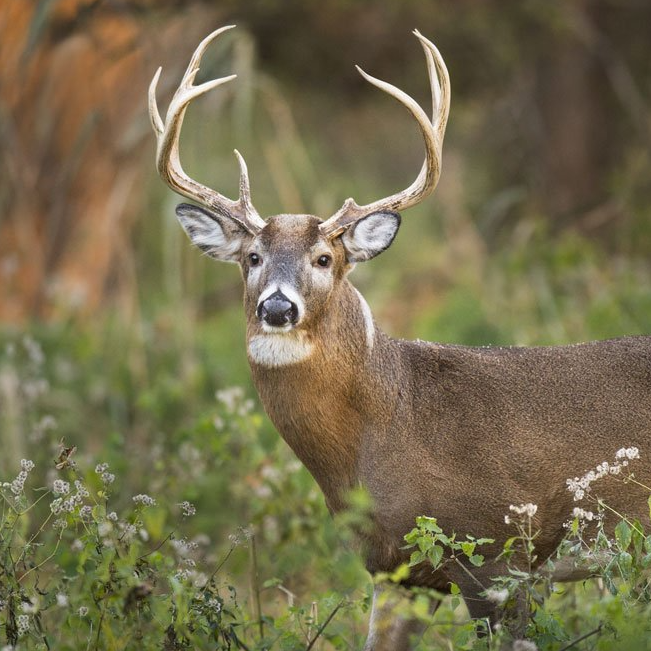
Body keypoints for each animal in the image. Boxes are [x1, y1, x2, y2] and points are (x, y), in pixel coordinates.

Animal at [149, 25, 651, 650]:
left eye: (324, 258)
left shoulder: (499, 551)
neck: (389, 424)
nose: (277, 307)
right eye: (252, 258)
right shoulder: (395, 570)